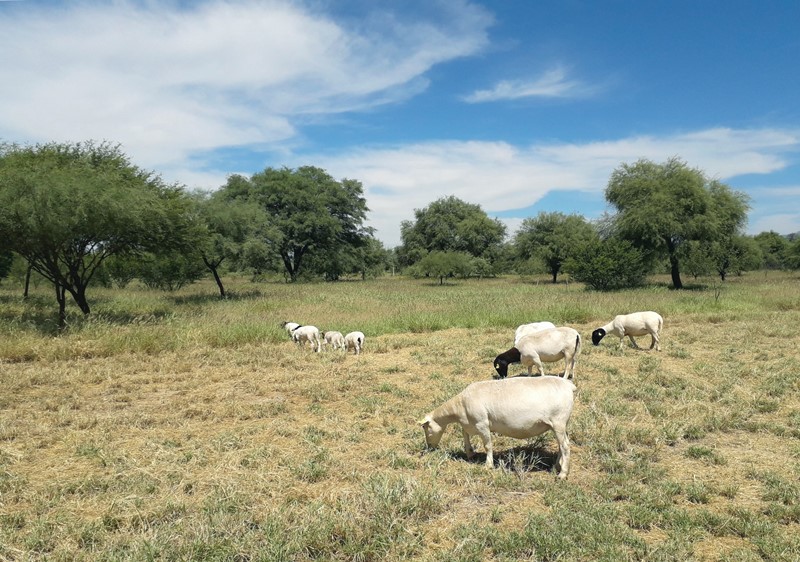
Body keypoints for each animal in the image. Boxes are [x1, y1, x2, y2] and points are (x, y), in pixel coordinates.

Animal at [419, 375, 576, 477]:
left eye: (425, 428)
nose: (429, 447)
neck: (459, 407)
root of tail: (569, 385)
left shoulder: (482, 423)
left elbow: (487, 445)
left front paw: (488, 465)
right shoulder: (469, 423)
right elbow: (465, 434)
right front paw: (470, 453)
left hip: (558, 421)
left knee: (565, 446)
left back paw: (562, 474)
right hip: (561, 424)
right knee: (562, 445)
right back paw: (557, 466)